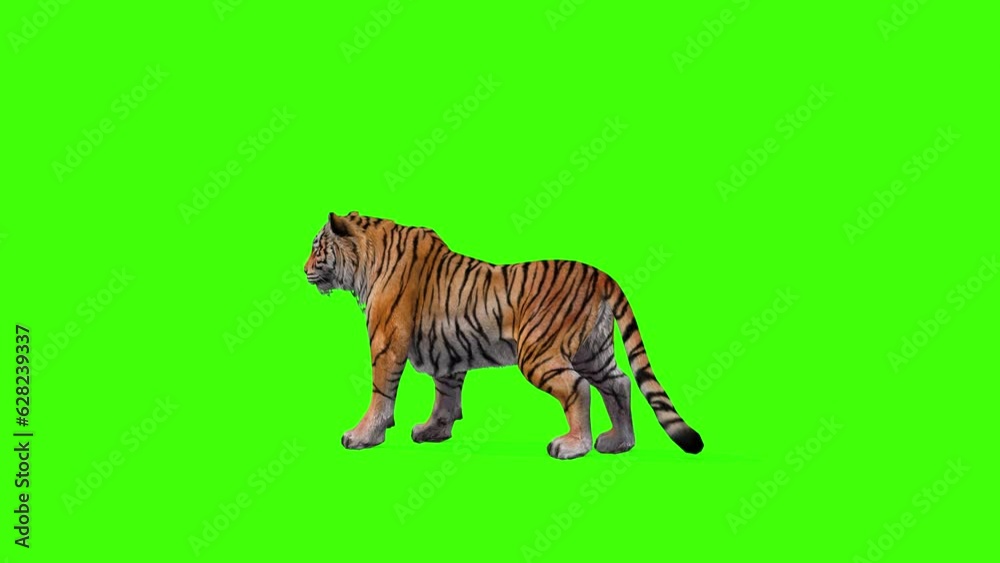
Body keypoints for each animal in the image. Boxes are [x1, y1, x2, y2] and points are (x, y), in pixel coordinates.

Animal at [304, 212, 703, 459]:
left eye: (316, 248)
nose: (304, 269)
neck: (363, 262)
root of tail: (600, 275)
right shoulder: (446, 349)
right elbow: (445, 395)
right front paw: (434, 431)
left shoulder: (387, 342)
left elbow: (381, 392)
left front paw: (362, 436)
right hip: (593, 351)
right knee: (619, 383)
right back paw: (619, 443)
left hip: (540, 353)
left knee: (578, 388)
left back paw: (573, 446)